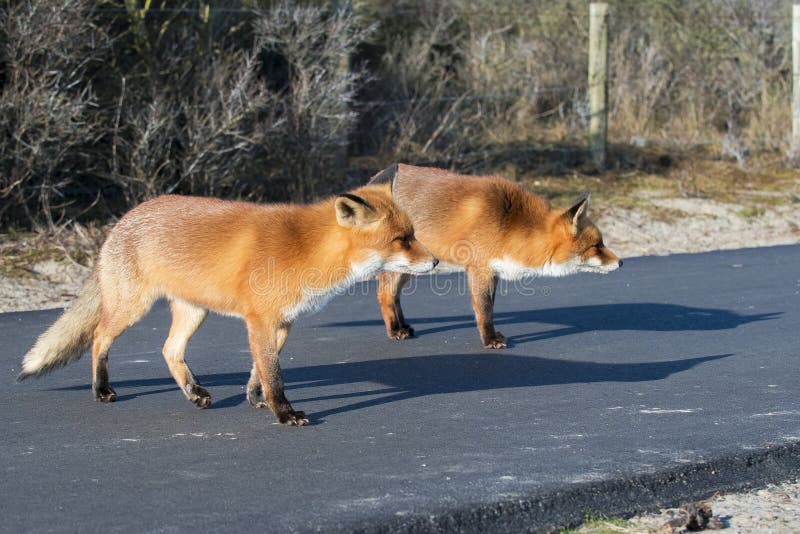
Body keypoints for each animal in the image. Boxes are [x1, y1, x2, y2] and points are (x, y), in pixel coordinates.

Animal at [18, 184, 437, 426]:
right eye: (401, 240)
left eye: (413, 235)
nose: (434, 262)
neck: (306, 250)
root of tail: (125, 218)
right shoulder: (261, 321)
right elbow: (274, 375)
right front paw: (284, 414)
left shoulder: (281, 323)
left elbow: (259, 370)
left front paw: (256, 399)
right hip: (131, 308)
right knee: (99, 338)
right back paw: (101, 389)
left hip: (194, 311)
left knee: (168, 350)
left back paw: (194, 392)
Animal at [369, 163, 622, 349]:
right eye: (597, 246)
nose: (620, 263)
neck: (510, 224)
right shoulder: (479, 269)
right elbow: (484, 310)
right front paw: (489, 339)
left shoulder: (495, 271)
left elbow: (490, 306)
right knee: (384, 294)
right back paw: (395, 330)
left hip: (415, 266)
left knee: (395, 296)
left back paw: (403, 326)